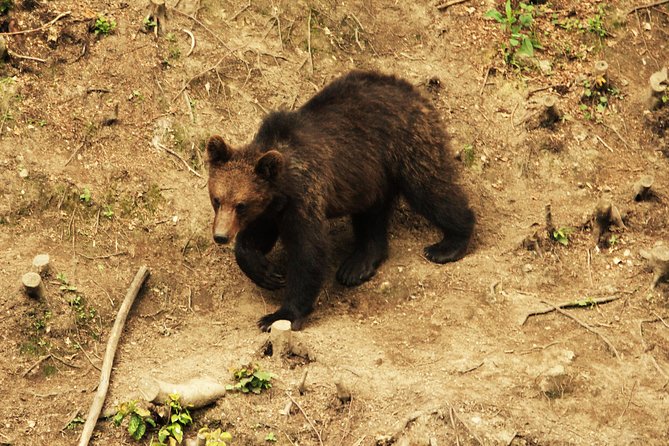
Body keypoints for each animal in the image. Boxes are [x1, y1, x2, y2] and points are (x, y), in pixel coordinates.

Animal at [206, 70, 475, 331]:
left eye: (241, 205)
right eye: (217, 199)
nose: (220, 236)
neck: (282, 188)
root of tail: (411, 89)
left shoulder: (304, 196)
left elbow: (308, 252)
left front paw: (279, 315)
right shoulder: (271, 208)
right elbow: (255, 239)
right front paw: (267, 272)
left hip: (405, 144)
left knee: (430, 189)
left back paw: (449, 243)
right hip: (371, 175)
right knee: (372, 215)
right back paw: (357, 265)